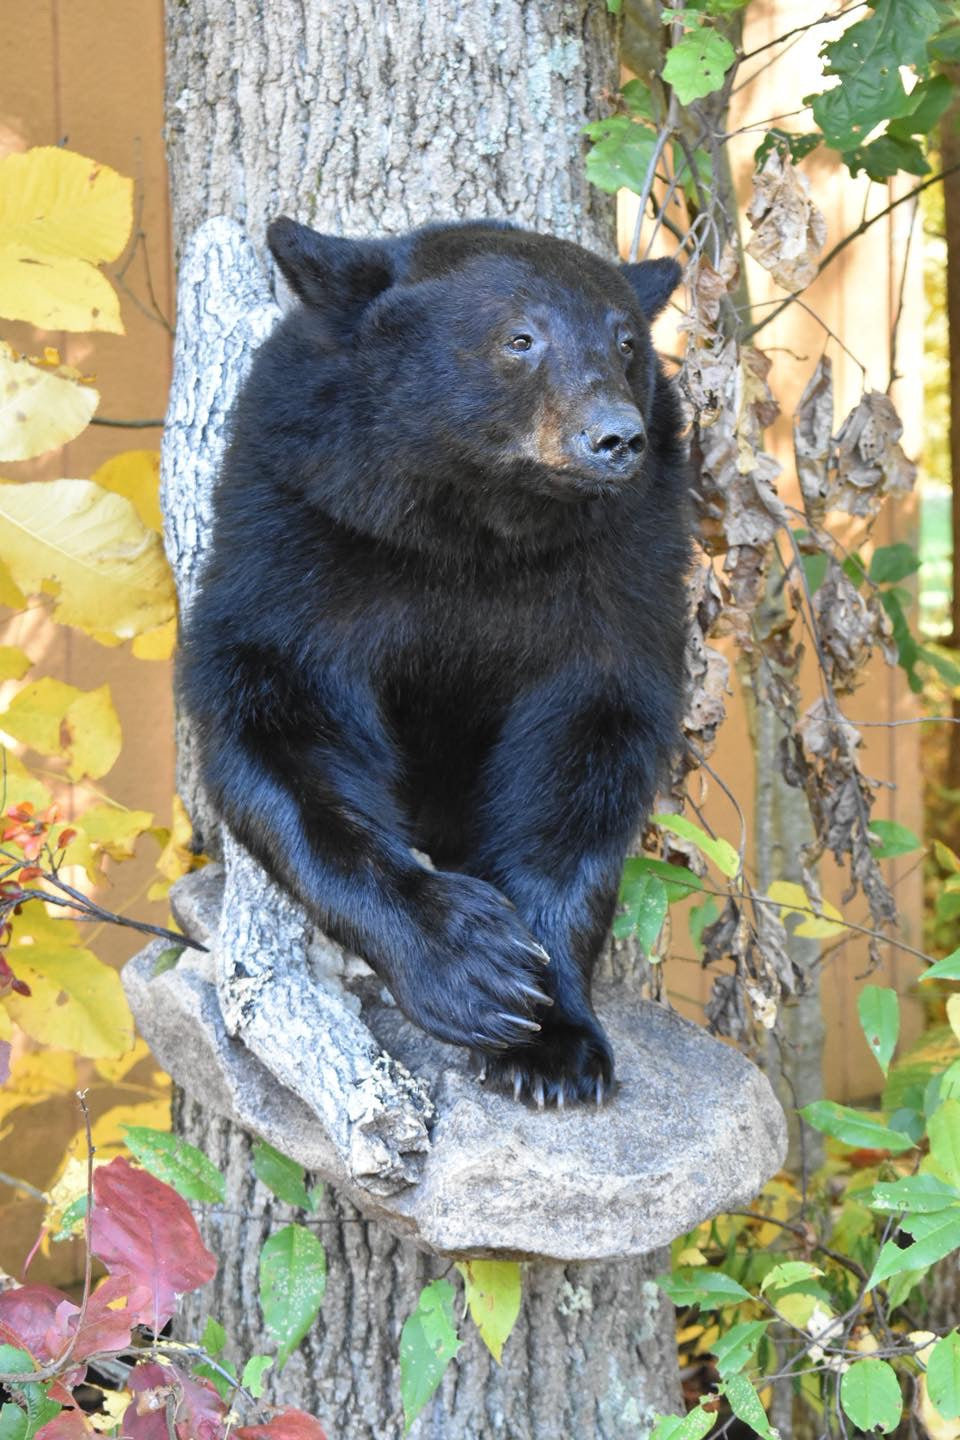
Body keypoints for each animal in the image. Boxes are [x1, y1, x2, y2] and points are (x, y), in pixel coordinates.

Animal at [179, 216, 690, 1108]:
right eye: (519, 337)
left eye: (627, 342)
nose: (616, 436)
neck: (478, 529)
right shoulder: (303, 524)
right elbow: (280, 717)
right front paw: (471, 965)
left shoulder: (624, 564)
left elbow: (587, 748)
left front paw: (554, 1041)